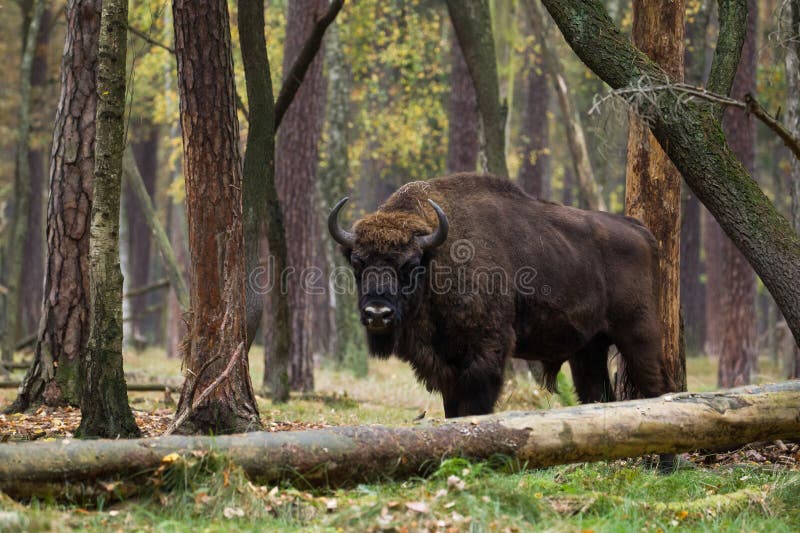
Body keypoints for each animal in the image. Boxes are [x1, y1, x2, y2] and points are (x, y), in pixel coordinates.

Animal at [328, 173, 674, 421]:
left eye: (410, 264)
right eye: (358, 263)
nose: (377, 314)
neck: (438, 257)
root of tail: (641, 232)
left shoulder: (485, 353)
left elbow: (475, 407)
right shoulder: (447, 364)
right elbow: (453, 409)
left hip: (638, 333)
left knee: (656, 387)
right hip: (589, 347)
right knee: (598, 395)